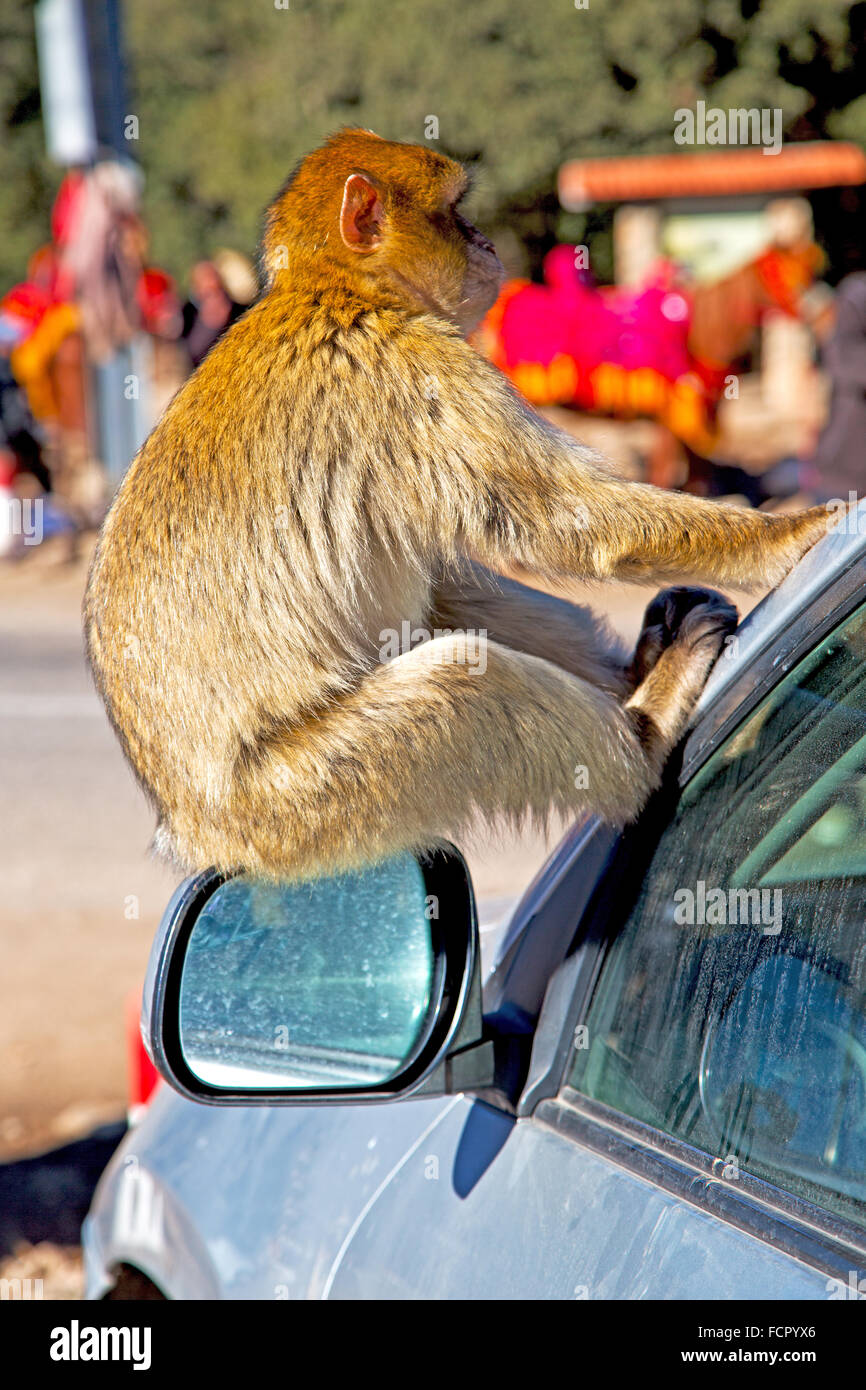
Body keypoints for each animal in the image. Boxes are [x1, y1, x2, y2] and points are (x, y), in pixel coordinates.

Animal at [83, 129, 831, 883]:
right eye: (453, 211)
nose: (486, 241)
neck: (336, 289)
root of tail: (195, 831)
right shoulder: (419, 366)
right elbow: (566, 519)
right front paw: (792, 533)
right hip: (305, 800)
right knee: (464, 675)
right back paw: (643, 739)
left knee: (450, 597)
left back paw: (640, 671)